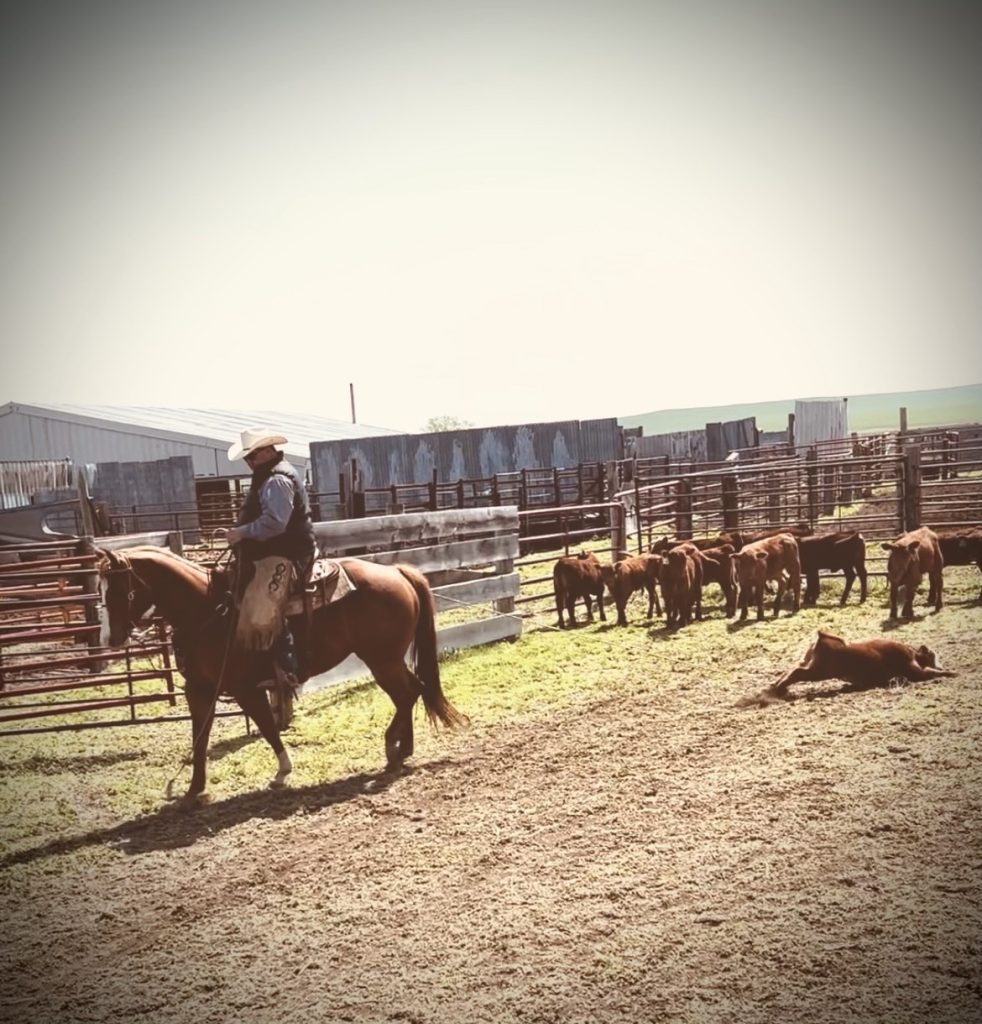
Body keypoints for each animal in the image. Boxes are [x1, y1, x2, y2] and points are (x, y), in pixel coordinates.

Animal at [97, 546, 468, 800]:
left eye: (118, 590)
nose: (110, 640)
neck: (207, 610)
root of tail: (397, 571)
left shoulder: (244, 687)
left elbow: (266, 726)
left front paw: (282, 772)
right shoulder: (199, 689)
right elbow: (200, 738)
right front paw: (193, 790)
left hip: (382, 659)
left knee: (407, 693)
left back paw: (393, 746)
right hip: (387, 659)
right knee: (413, 690)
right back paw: (403, 750)